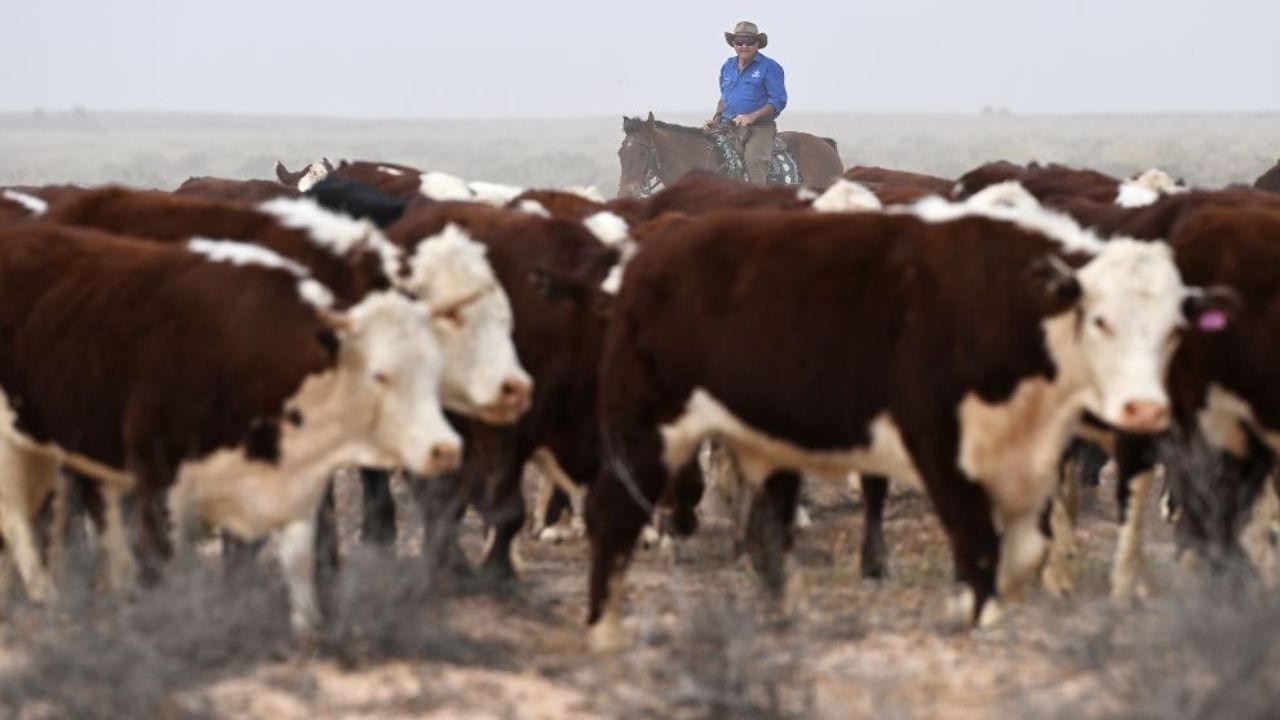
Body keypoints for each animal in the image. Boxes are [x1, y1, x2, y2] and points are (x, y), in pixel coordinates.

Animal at [0, 223, 461, 633]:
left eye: (436, 367)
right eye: (380, 375)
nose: (446, 449)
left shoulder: (295, 480)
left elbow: (299, 560)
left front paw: (308, 628)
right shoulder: (157, 478)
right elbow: (159, 560)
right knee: (17, 518)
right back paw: (47, 599)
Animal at [585, 199, 1227, 649]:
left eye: (1175, 329)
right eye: (1099, 320)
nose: (1144, 410)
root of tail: (653, 250)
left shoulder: (1030, 458)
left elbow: (1023, 553)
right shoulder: (939, 447)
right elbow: (977, 542)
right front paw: (983, 619)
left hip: (761, 441)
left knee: (768, 534)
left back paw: (789, 615)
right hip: (647, 428)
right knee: (614, 511)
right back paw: (604, 630)